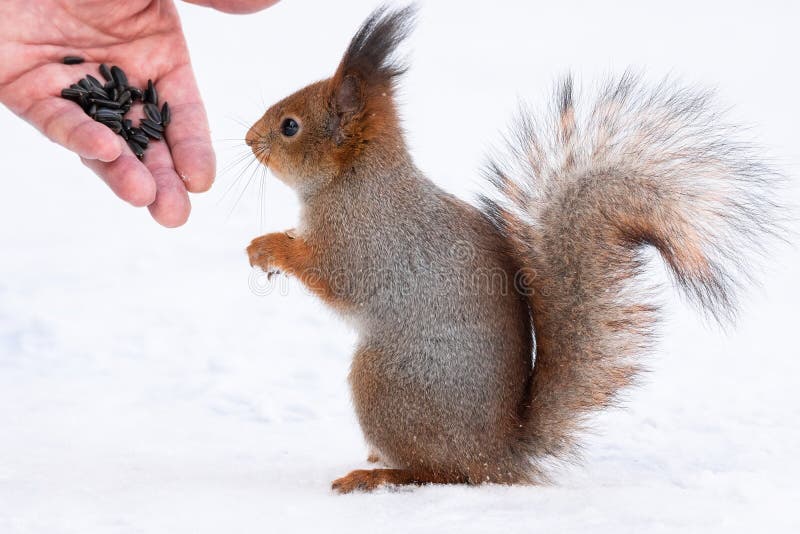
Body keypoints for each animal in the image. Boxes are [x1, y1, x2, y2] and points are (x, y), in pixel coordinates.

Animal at [245, 5, 782, 494]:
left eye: (290, 126)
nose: (250, 139)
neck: (354, 179)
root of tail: (495, 454)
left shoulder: (362, 238)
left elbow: (332, 275)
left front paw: (267, 248)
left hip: (384, 384)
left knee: (439, 473)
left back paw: (378, 475)